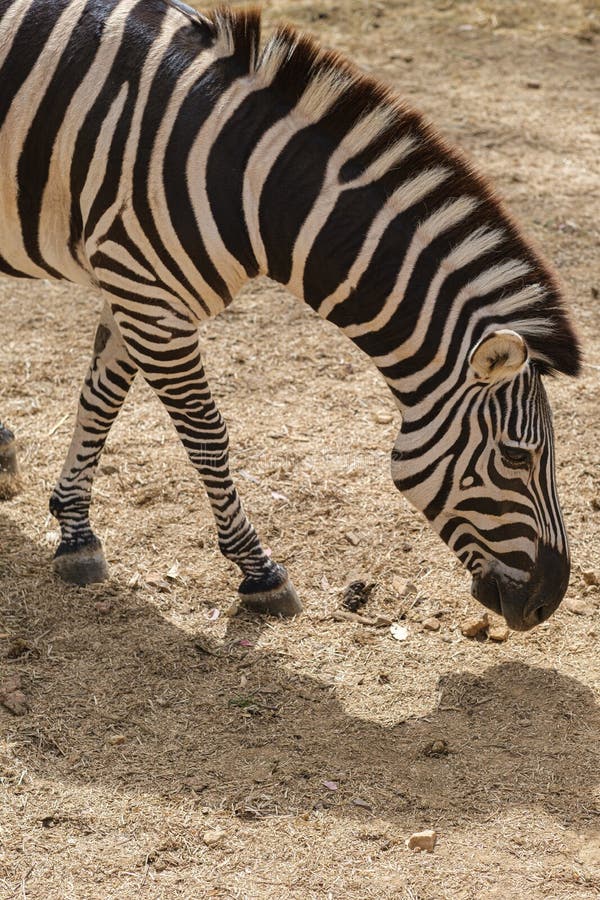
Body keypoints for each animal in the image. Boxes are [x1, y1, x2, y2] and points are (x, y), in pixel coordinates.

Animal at [0, 0, 581, 632]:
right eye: (516, 456)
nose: (549, 602)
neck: (246, 178)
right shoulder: (148, 295)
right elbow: (207, 436)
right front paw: (259, 572)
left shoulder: (135, 288)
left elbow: (100, 402)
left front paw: (75, 531)